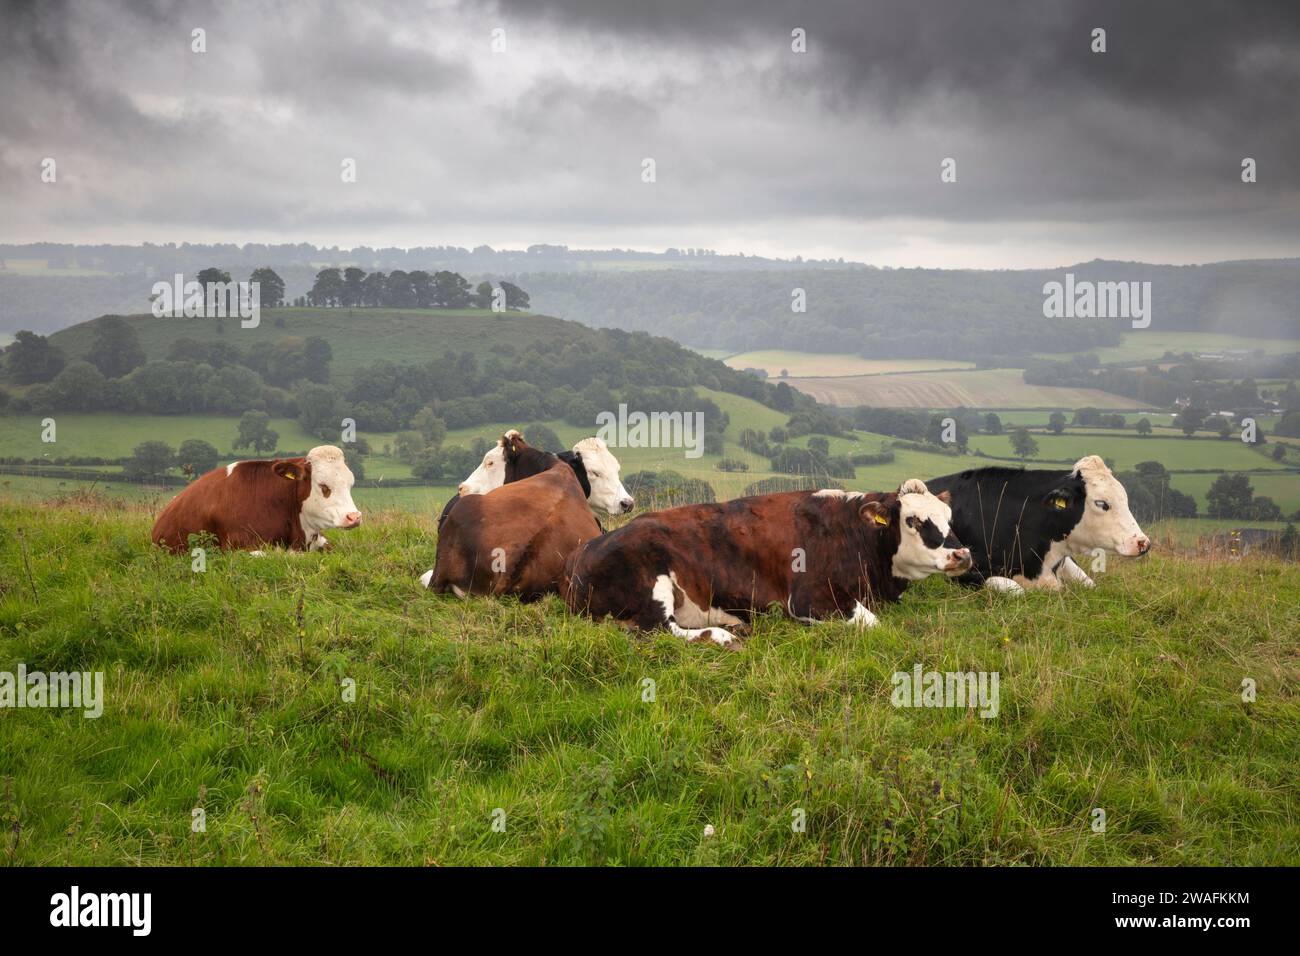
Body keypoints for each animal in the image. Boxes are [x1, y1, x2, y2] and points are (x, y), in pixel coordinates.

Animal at [563, 479, 971, 649]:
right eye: (913, 520)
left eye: (950, 518)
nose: (962, 555)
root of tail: (580, 554)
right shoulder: (807, 599)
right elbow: (873, 624)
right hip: (651, 575)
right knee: (658, 630)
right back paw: (725, 636)